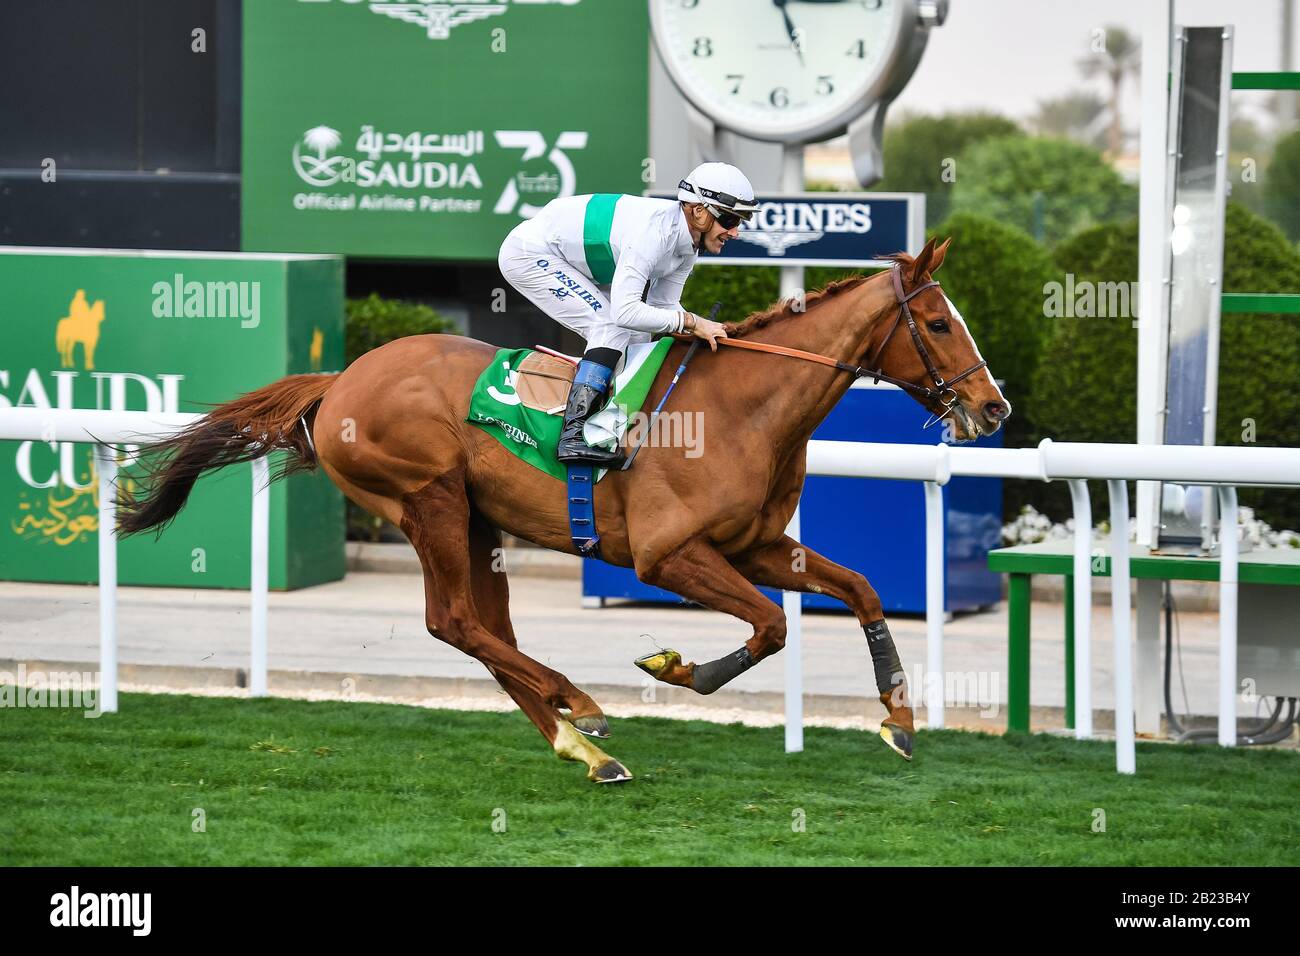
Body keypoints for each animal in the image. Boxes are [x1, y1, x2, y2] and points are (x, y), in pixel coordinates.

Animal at [117, 237, 1010, 783]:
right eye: (938, 322)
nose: (994, 408)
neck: (744, 409)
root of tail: (340, 381)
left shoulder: (754, 544)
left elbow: (858, 588)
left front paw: (899, 717)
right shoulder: (667, 555)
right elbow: (770, 625)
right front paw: (677, 668)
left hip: (478, 521)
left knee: (486, 630)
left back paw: (578, 744)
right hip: (427, 499)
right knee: (454, 622)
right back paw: (581, 706)